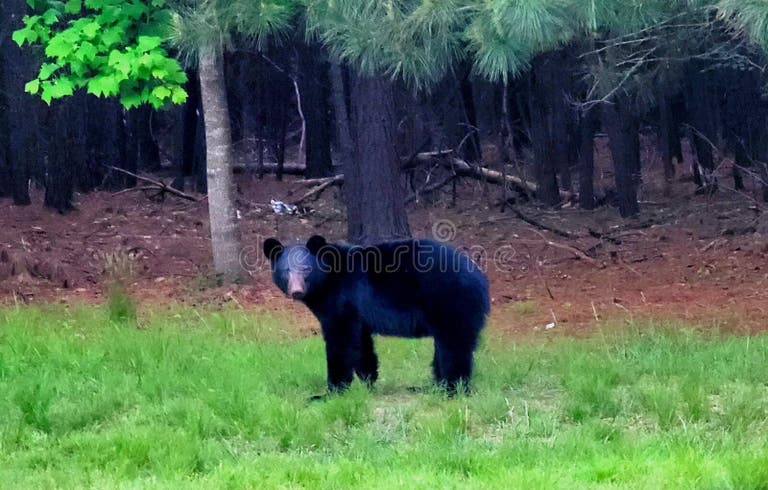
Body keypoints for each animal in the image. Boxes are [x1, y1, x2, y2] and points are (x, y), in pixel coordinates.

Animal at [263, 235, 490, 396]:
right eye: (286, 271)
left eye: (306, 269)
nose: (296, 291)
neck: (327, 280)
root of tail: (480, 279)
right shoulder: (358, 313)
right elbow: (362, 345)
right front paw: (368, 381)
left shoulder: (343, 300)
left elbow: (340, 341)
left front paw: (330, 391)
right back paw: (432, 387)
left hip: (450, 303)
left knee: (454, 346)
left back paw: (452, 389)